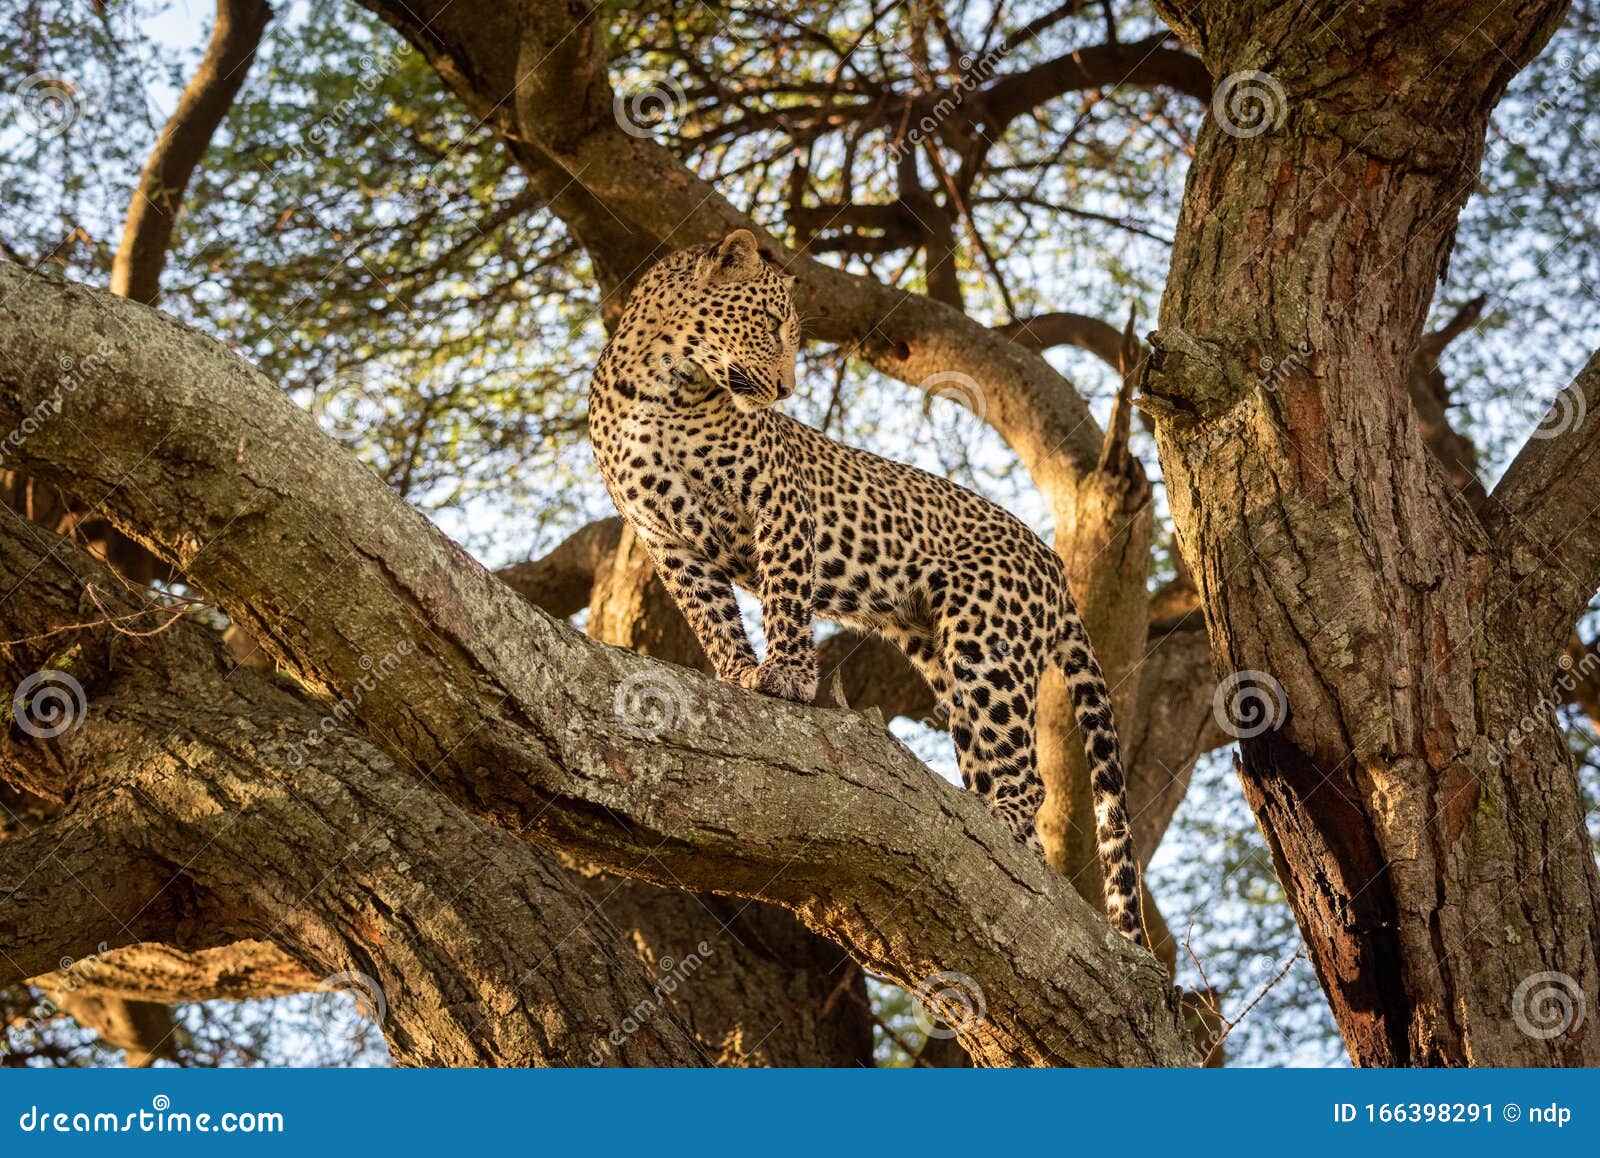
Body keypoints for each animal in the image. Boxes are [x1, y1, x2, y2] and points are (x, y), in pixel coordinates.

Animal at [588, 228, 1145, 946]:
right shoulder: (665, 539)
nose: (786, 390)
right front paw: (738, 673)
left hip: (988, 645)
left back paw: (1000, 824)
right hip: (945, 657)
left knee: (1029, 779)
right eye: (773, 325)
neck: (659, 386)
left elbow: (785, 597)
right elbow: (713, 616)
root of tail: (1054, 563)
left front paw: (788, 675)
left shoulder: (780, 500)